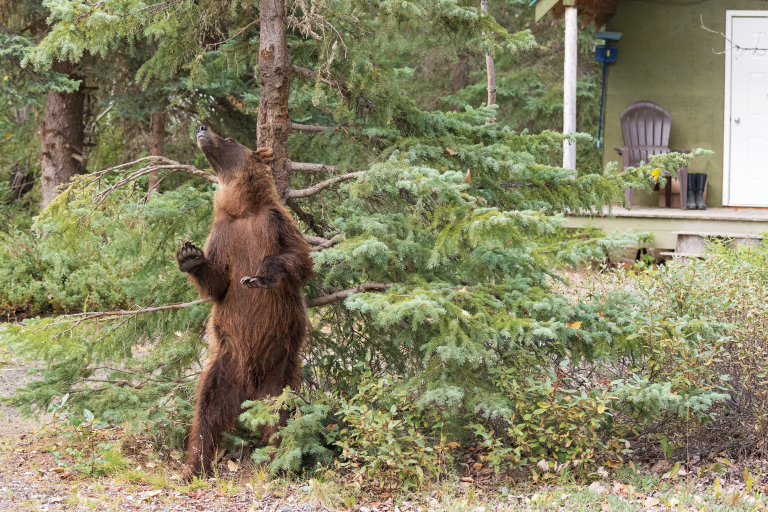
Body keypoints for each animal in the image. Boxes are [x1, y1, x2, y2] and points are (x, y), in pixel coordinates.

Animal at [176, 125, 313, 478]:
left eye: (229, 139)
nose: (202, 126)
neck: (243, 211)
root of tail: (248, 393)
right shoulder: (223, 236)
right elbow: (218, 284)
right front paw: (190, 256)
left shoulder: (275, 222)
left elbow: (299, 258)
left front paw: (260, 275)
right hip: (222, 369)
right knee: (205, 415)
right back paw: (194, 466)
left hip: (281, 373)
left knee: (279, 416)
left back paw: (279, 462)